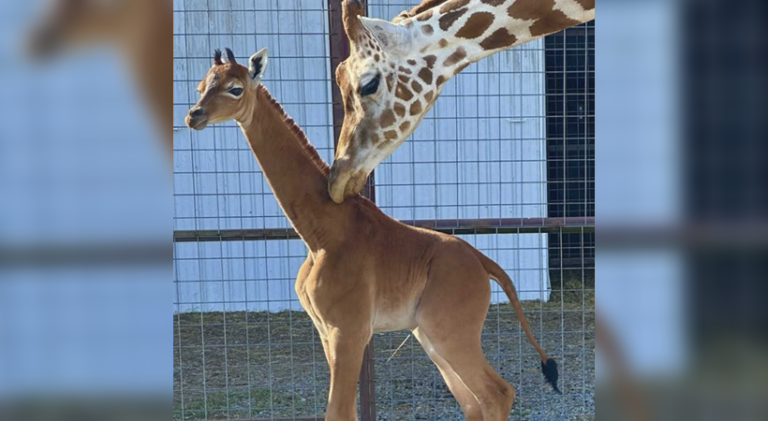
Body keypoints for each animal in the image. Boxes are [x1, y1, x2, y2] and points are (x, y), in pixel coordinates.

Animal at [187, 47, 560, 421]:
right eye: (201, 87)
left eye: (235, 89)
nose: (194, 116)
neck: (320, 233)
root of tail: (483, 263)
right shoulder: (326, 331)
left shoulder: (348, 329)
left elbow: (337, 411)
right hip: (429, 335)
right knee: (473, 402)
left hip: (449, 331)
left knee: (497, 392)